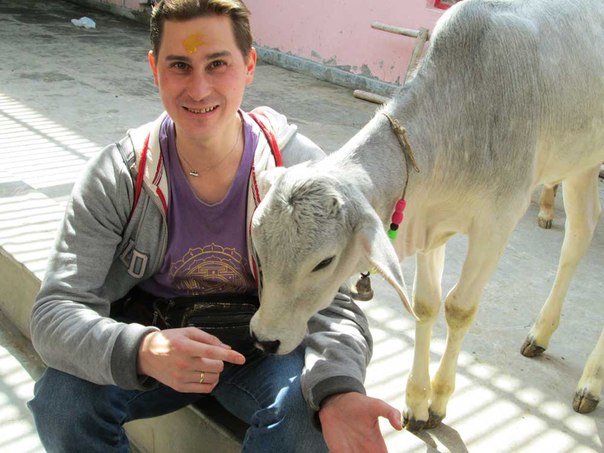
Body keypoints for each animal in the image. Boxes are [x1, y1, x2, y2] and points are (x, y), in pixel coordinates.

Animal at [250, 0, 604, 429]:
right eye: (259, 249)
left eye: (324, 262)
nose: (265, 337)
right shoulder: (431, 223)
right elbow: (425, 306)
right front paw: (417, 402)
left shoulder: (497, 222)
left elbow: (459, 309)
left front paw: (438, 399)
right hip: (583, 163)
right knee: (579, 236)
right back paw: (541, 334)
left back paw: (591, 382)